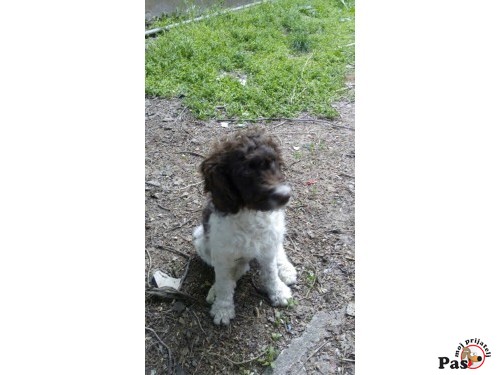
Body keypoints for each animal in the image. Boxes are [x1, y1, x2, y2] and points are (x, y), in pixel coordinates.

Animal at [192, 129, 296, 326]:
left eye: (274, 163)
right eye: (245, 173)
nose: (285, 195)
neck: (251, 214)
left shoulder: (267, 245)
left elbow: (270, 273)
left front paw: (278, 292)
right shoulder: (222, 255)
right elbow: (224, 282)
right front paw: (223, 308)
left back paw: (285, 268)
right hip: (201, 239)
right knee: (237, 270)